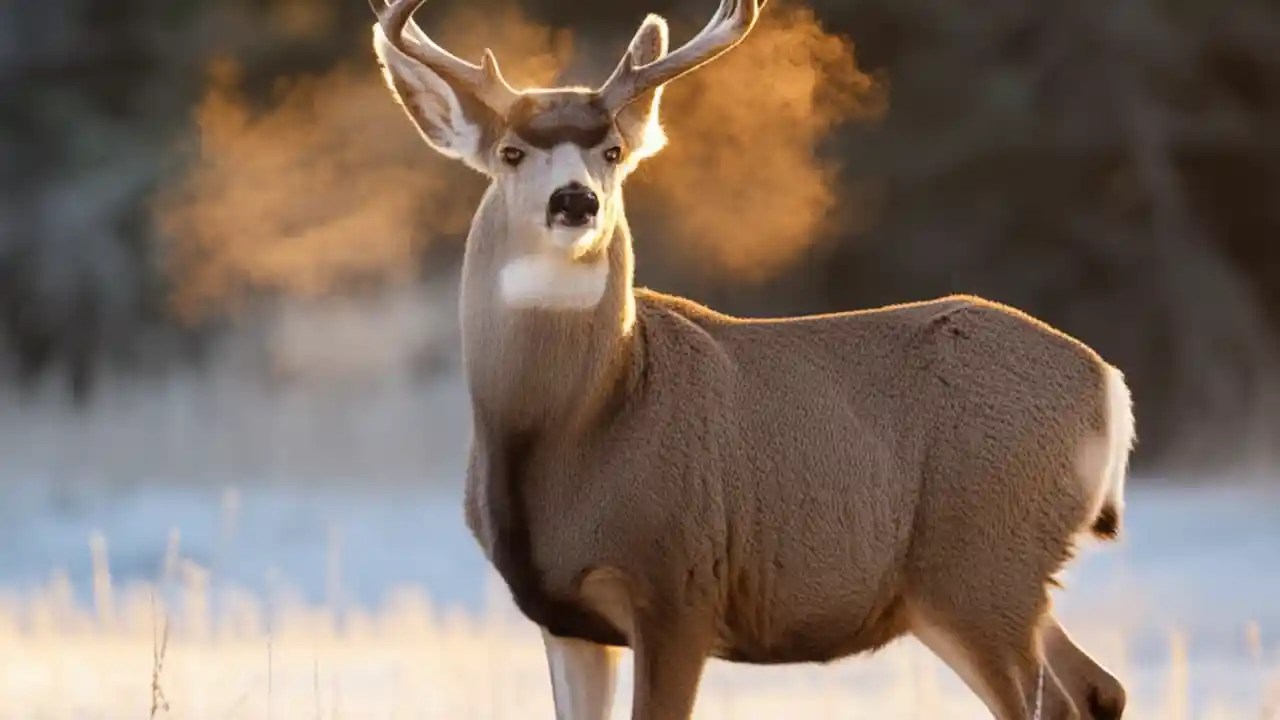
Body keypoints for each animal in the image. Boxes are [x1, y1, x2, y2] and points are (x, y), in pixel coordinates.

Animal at [368, 0, 1135, 717]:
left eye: (612, 150)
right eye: (511, 152)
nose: (575, 202)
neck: (581, 426)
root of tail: (1110, 384)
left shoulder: (678, 586)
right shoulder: (566, 619)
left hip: (982, 567)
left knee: (1053, 700)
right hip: (985, 582)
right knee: (1100, 687)